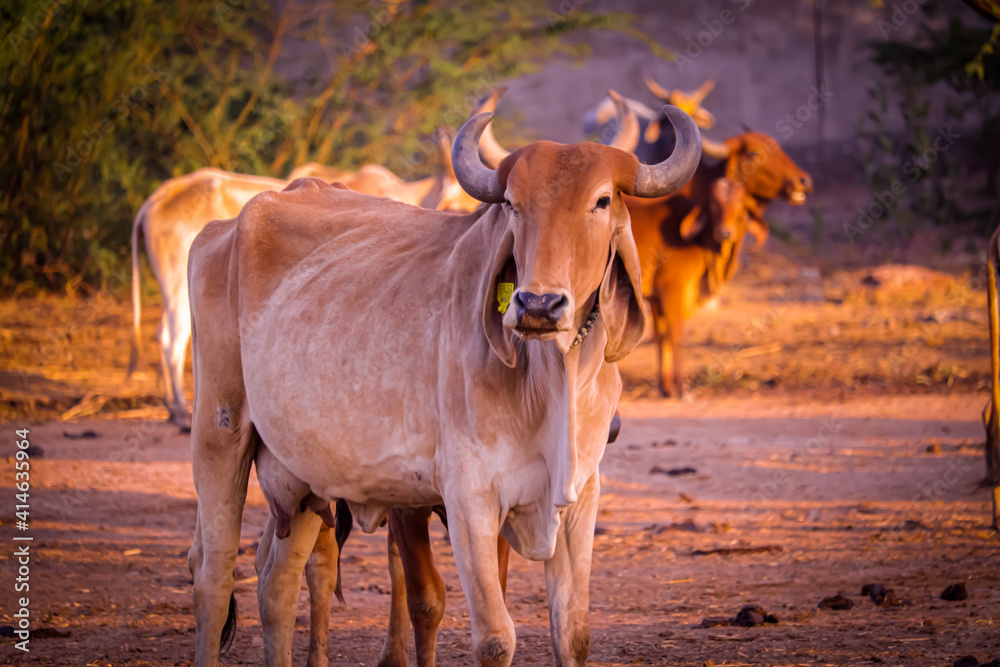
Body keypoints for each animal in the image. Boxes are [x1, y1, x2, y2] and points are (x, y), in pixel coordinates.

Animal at [128, 135, 482, 431]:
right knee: (173, 339)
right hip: (178, 287)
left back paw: (172, 409)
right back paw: (181, 413)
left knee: (161, 334)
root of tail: (155, 201)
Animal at [184, 105, 701, 667]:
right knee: (213, 575)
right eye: (513, 204)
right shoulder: (467, 497)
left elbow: (573, 632)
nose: (538, 305)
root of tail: (228, 225)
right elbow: (492, 635)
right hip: (221, 433)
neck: (548, 378)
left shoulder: (580, 498)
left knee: (276, 583)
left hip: (300, 474)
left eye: (602, 200)